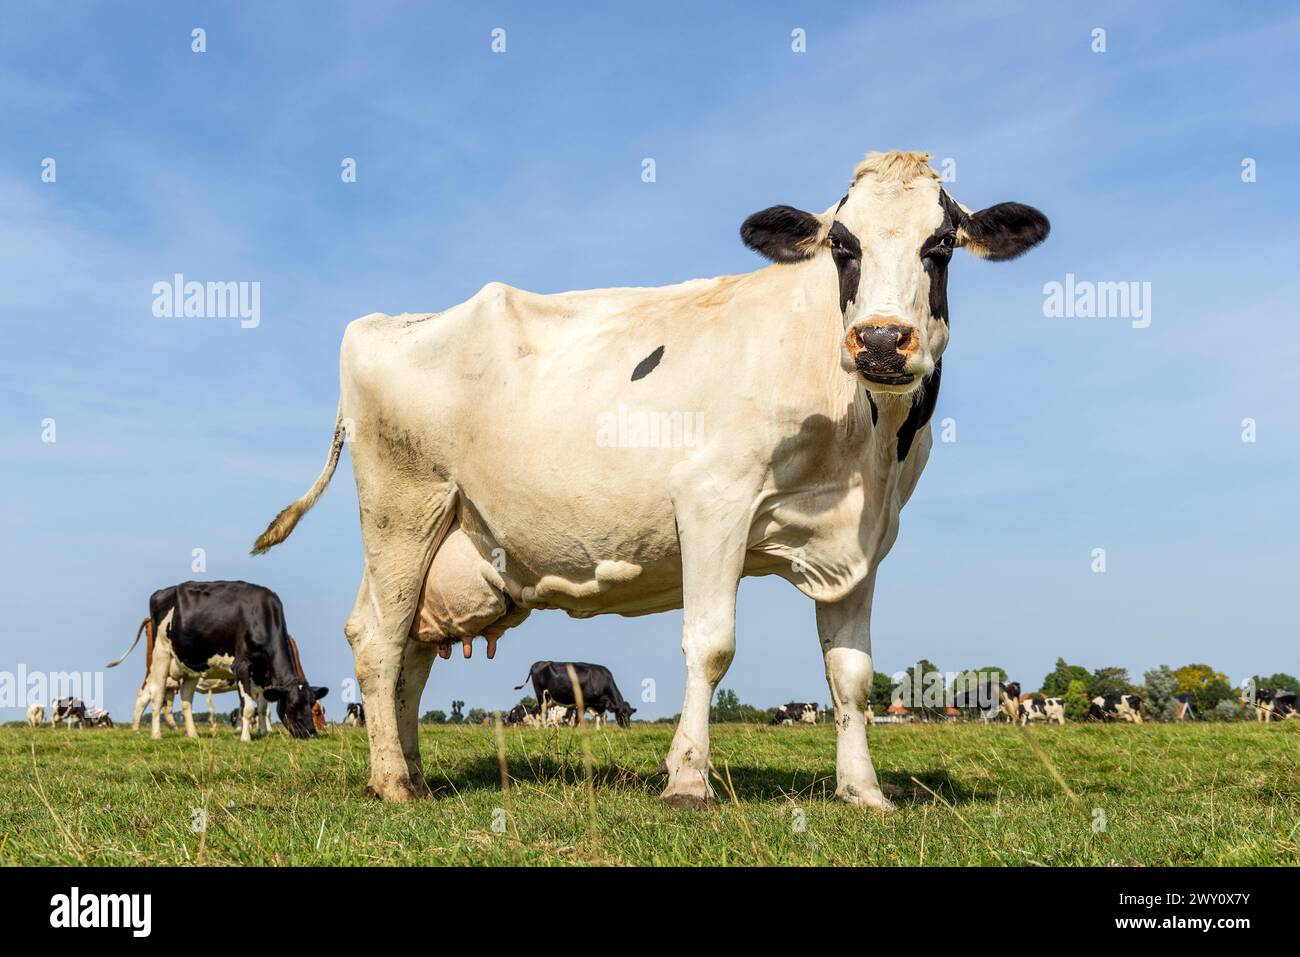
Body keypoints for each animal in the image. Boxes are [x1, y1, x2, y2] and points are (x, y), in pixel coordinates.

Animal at [106, 581, 327, 741]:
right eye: (293, 705)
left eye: (311, 704)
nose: (313, 734)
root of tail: (161, 592)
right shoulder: (241, 666)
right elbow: (248, 707)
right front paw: (245, 738)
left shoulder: (262, 674)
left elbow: (264, 707)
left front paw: (264, 733)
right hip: (161, 655)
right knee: (154, 694)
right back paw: (153, 733)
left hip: (190, 664)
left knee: (185, 699)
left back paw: (192, 734)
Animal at [251, 149, 1049, 808]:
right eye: (842, 246)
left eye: (939, 244)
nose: (881, 340)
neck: (864, 441)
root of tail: (390, 320)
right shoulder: (712, 501)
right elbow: (712, 643)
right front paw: (688, 780)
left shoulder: (861, 538)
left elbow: (850, 672)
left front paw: (864, 792)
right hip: (401, 506)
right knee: (377, 638)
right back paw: (391, 781)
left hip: (445, 536)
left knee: (411, 652)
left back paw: (412, 772)